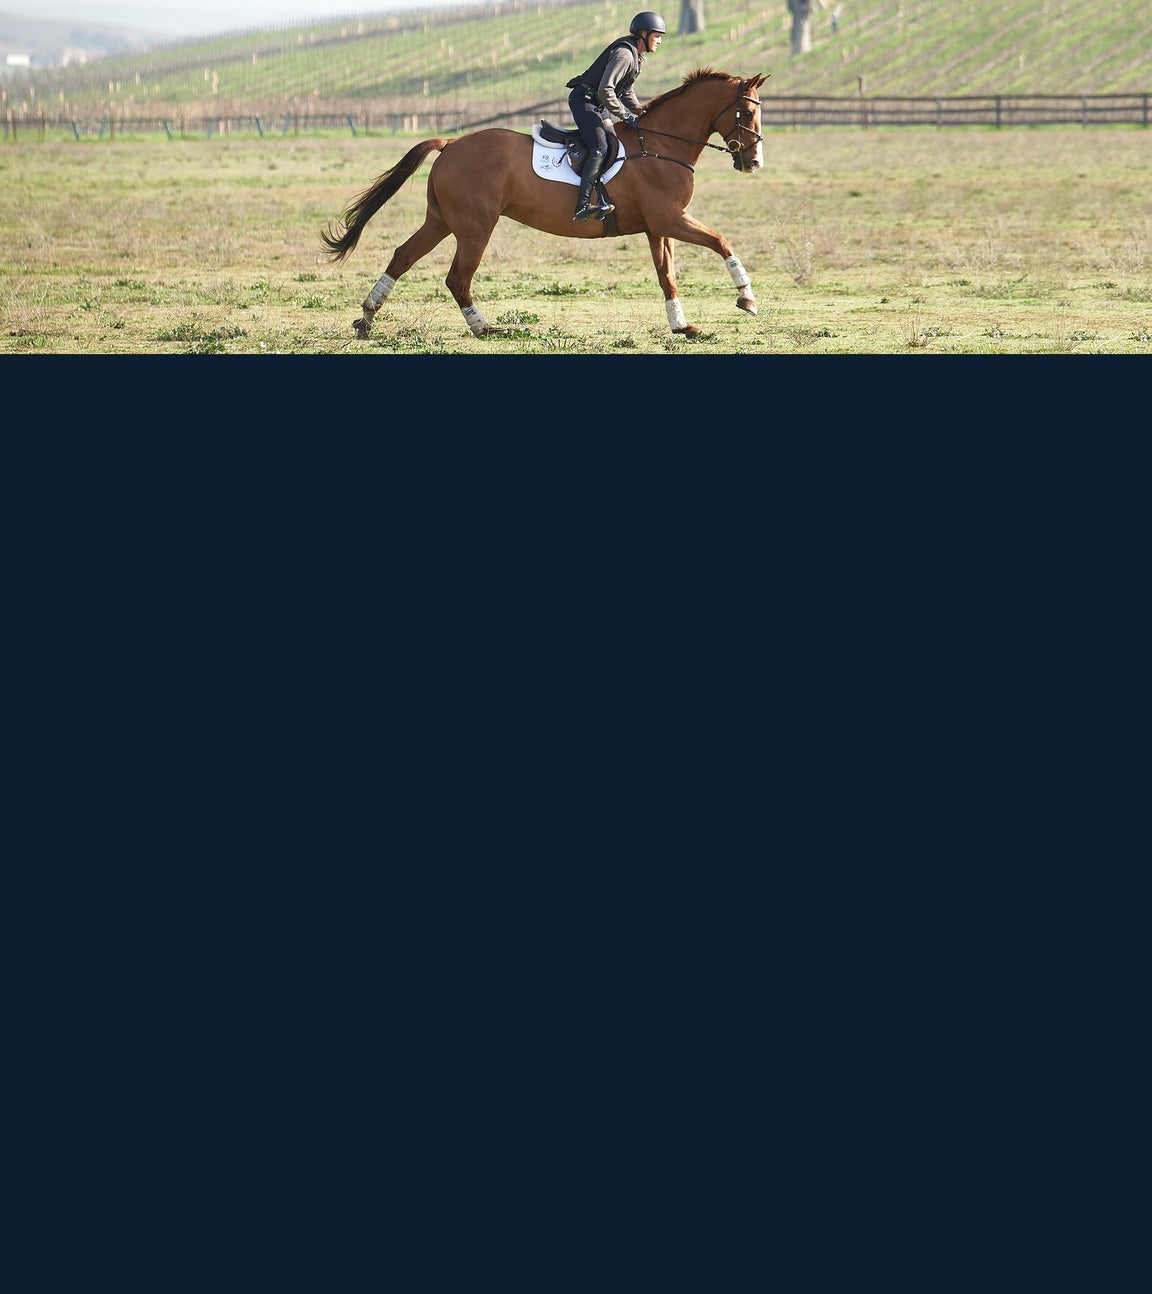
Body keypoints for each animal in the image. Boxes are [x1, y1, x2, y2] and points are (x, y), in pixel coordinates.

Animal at [320, 68, 768, 341]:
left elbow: (667, 276)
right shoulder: (673, 219)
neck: (660, 143)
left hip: (441, 220)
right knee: (457, 278)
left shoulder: (659, 227)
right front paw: (746, 298)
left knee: (402, 256)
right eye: (746, 112)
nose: (754, 162)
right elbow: (723, 242)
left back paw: (366, 319)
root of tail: (451, 142)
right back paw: (485, 328)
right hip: (475, 227)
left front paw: (681, 325)